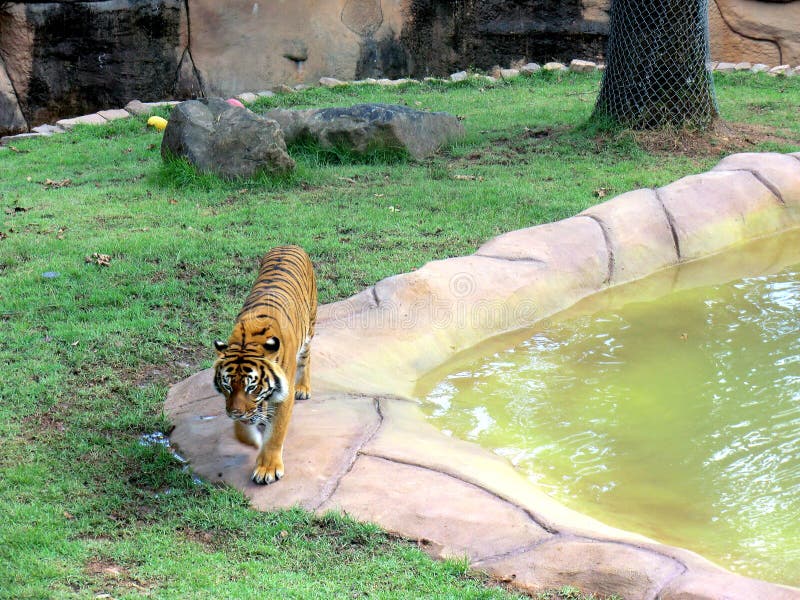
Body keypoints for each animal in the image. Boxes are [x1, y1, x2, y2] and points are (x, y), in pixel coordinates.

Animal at [213, 245, 317, 485]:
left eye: (252, 387)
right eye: (227, 386)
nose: (234, 413)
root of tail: (289, 245)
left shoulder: (283, 395)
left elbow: (276, 432)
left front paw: (267, 468)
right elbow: (241, 429)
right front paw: (253, 440)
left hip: (309, 329)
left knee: (306, 360)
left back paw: (303, 388)